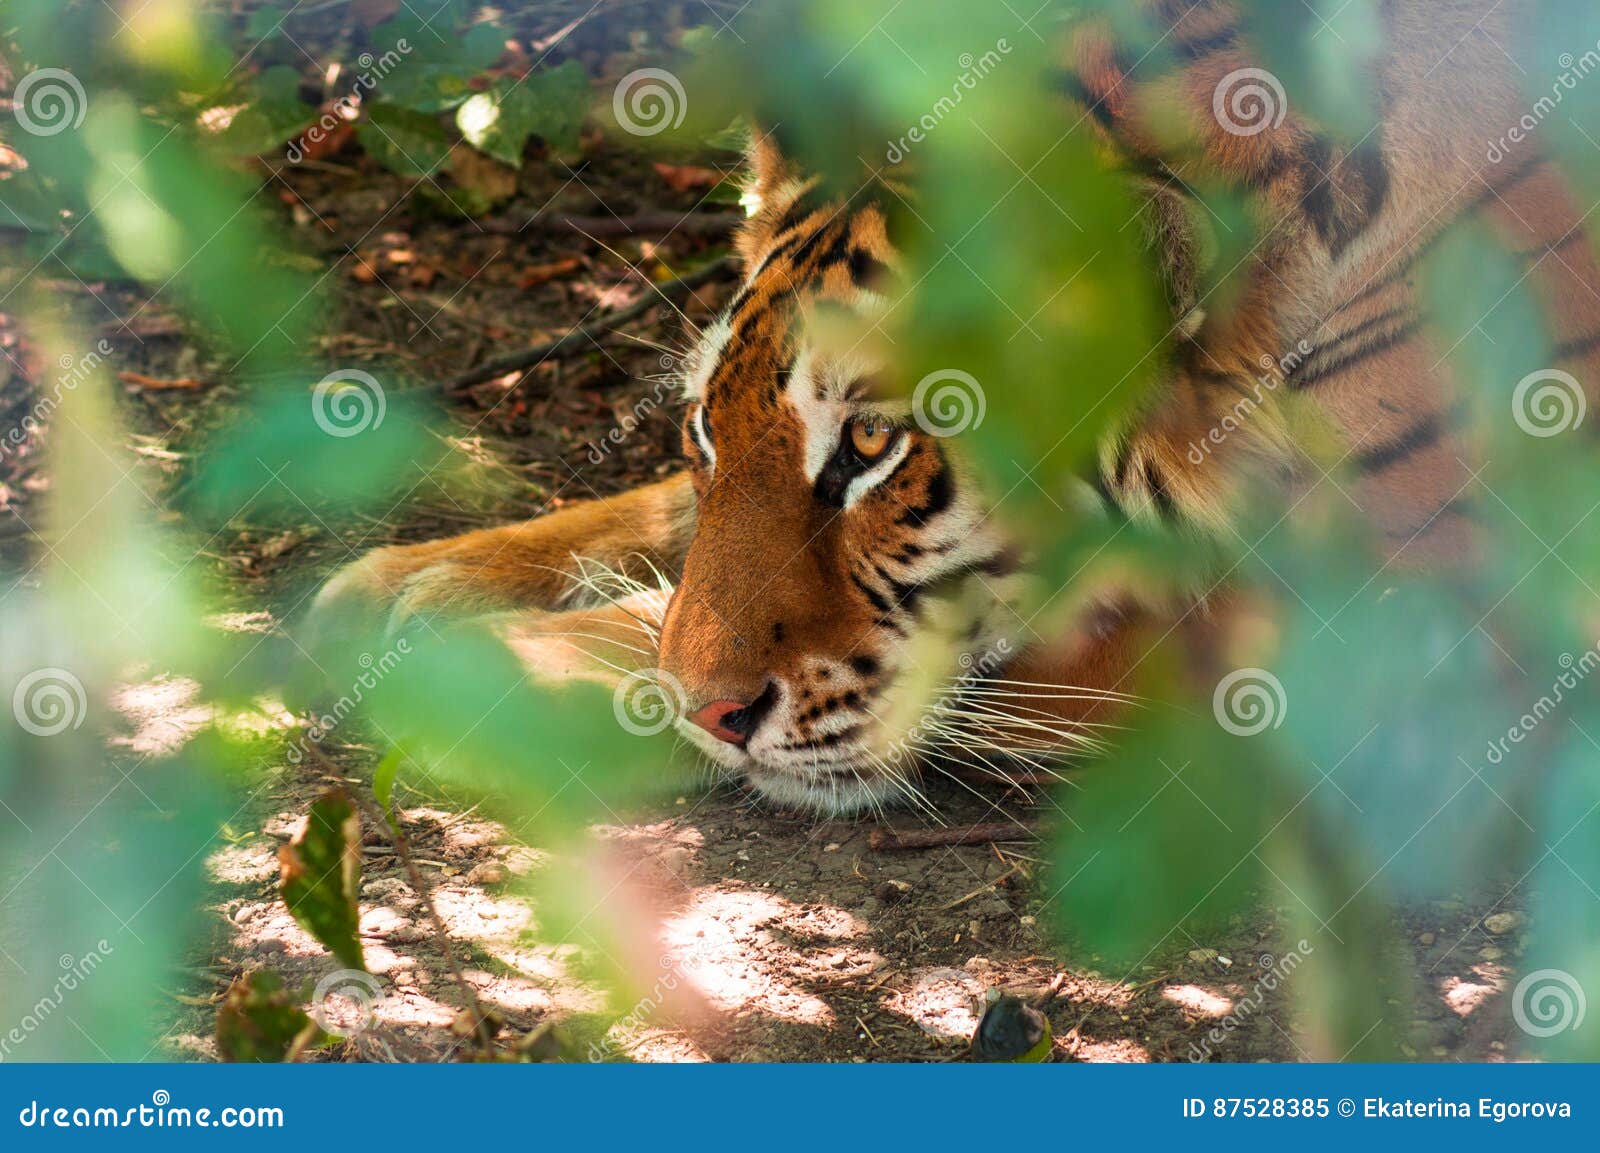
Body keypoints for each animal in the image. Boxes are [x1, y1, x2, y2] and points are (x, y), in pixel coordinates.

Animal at [305, 0, 1600, 815]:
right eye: (706, 431)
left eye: (874, 445)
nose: (709, 709)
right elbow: (657, 512)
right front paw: (411, 583)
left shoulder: (1435, 618)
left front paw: (511, 667)